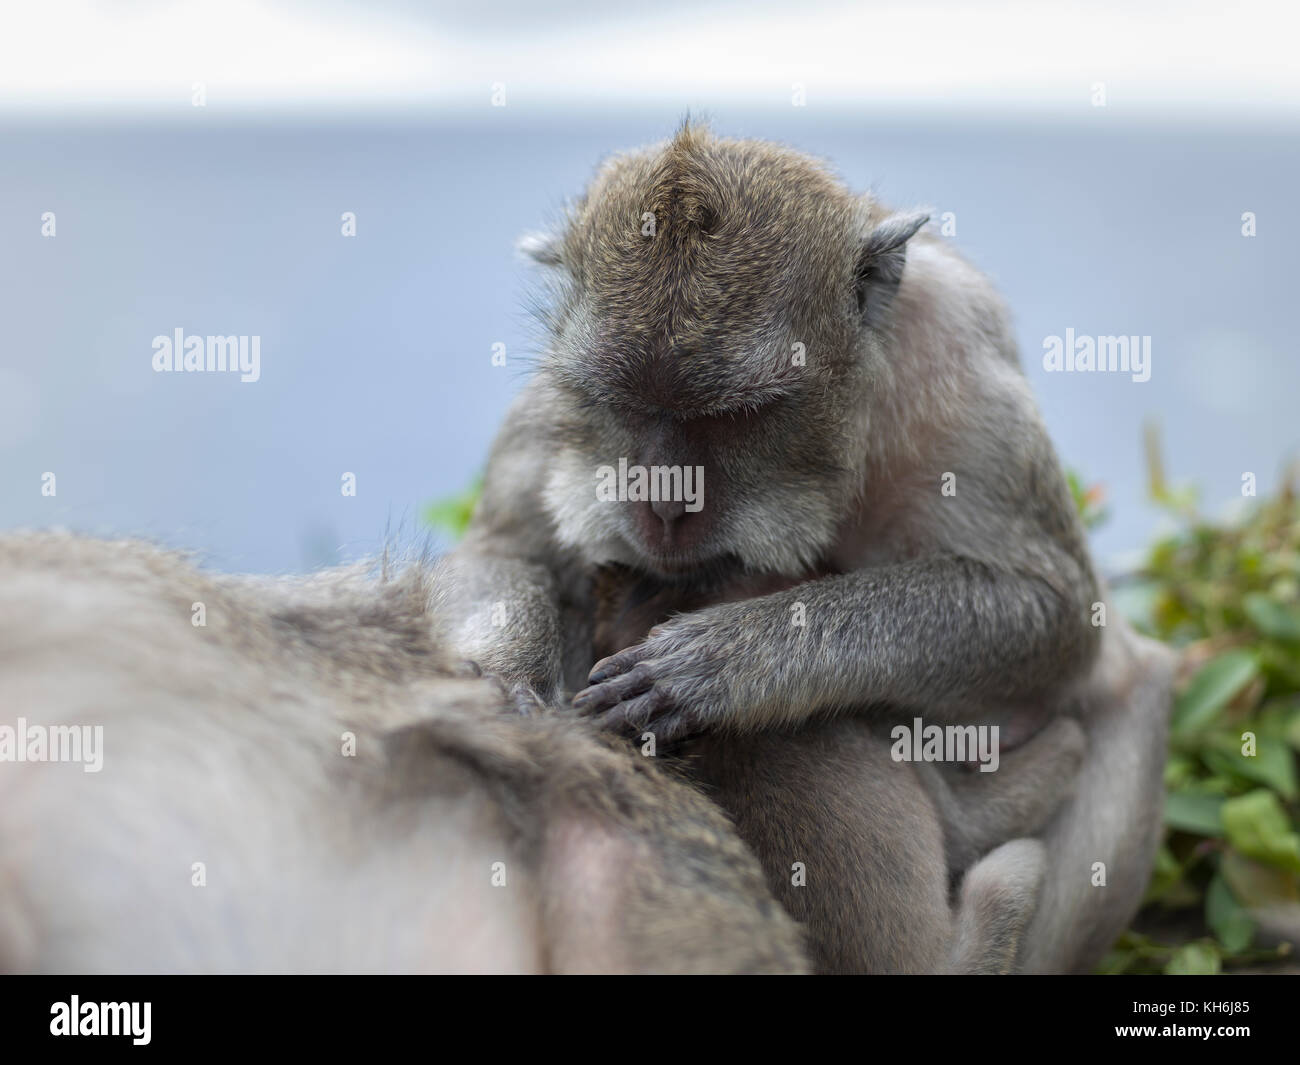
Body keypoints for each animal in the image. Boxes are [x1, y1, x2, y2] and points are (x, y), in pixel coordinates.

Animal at [440, 121, 1174, 973]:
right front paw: (506, 682)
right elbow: (504, 552)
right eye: (622, 400)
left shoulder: (955, 362)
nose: (664, 505)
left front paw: (724, 664)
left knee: (1126, 686)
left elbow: (1052, 614)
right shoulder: (557, 407)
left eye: (739, 413)